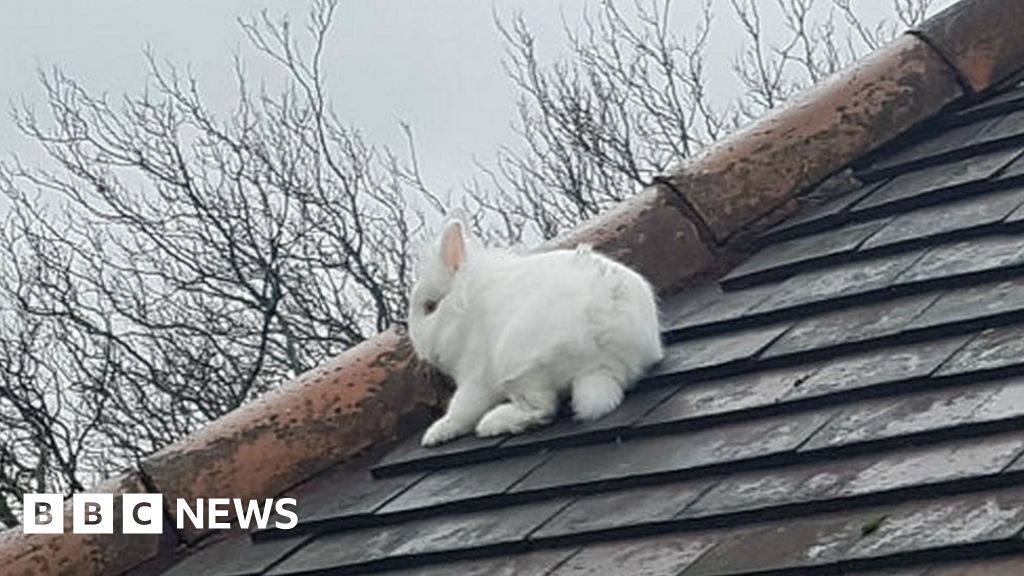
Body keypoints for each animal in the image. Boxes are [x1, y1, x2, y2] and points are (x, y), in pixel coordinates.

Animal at [408, 216, 664, 446]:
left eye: (430, 307)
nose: (422, 351)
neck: (465, 312)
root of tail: (604, 360)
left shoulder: (474, 377)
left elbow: (462, 409)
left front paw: (434, 435)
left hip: (519, 367)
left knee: (543, 409)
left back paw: (492, 423)